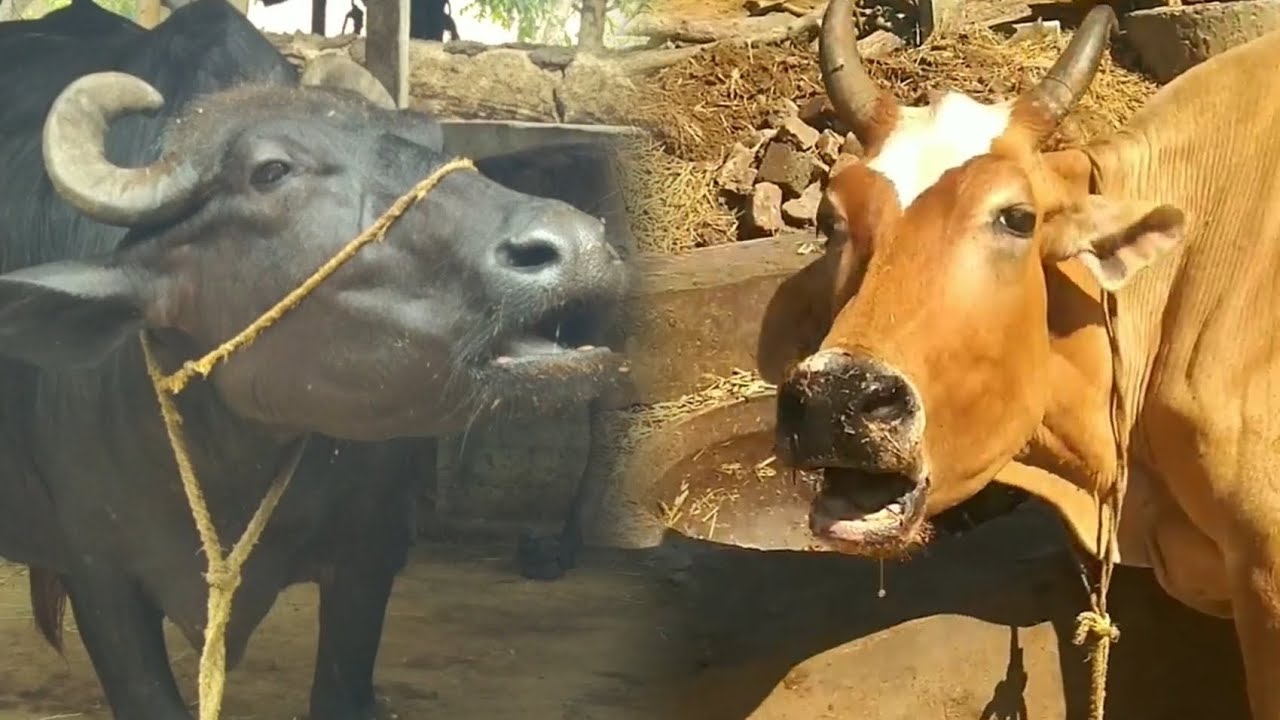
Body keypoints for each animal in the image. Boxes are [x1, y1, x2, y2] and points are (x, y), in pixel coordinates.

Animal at [0, 0, 629, 717]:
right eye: (272, 172)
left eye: (430, 142)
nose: (580, 247)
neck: (230, 453)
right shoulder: (100, 578)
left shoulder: (369, 557)